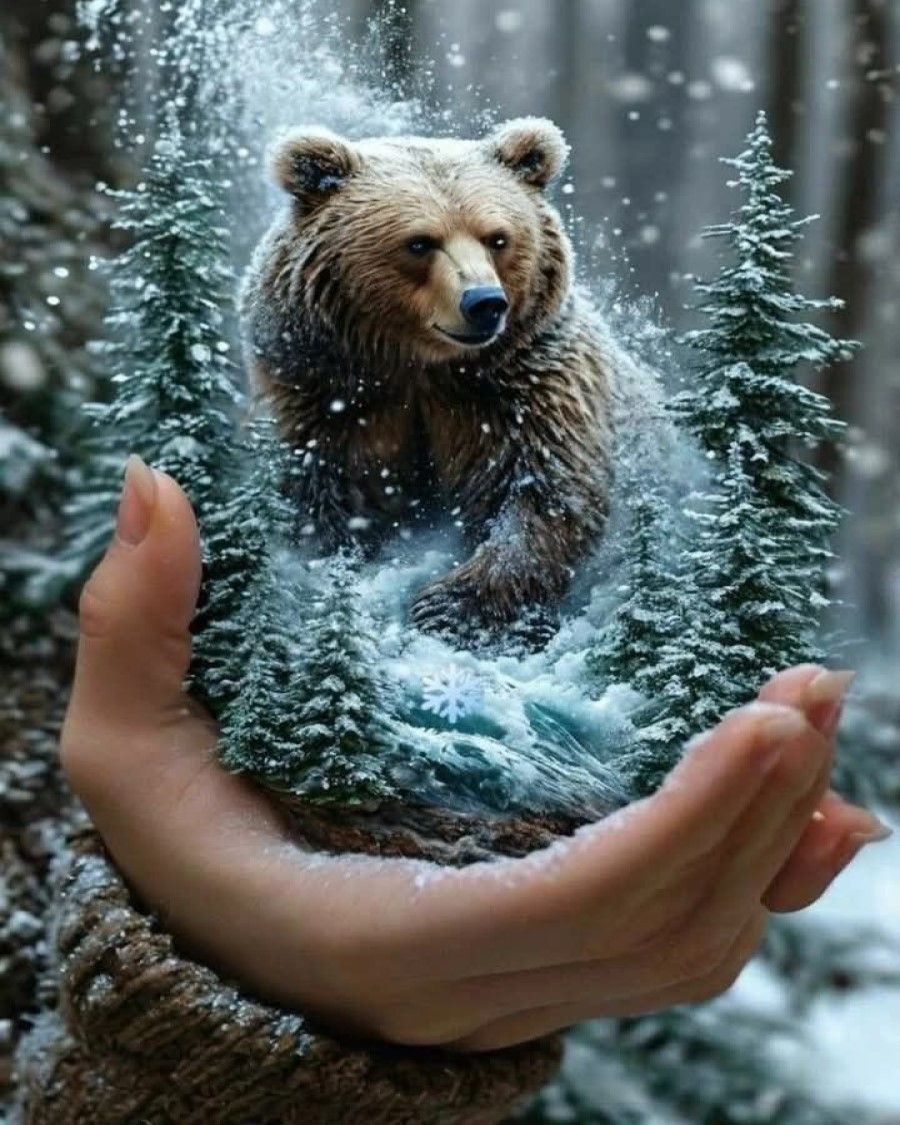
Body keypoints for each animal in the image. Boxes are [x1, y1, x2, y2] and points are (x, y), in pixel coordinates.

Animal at [241, 117, 614, 645]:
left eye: (497, 238)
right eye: (419, 242)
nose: (484, 303)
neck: (421, 364)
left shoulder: (529, 386)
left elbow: (547, 492)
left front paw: (446, 605)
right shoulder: (319, 391)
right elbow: (322, 496)